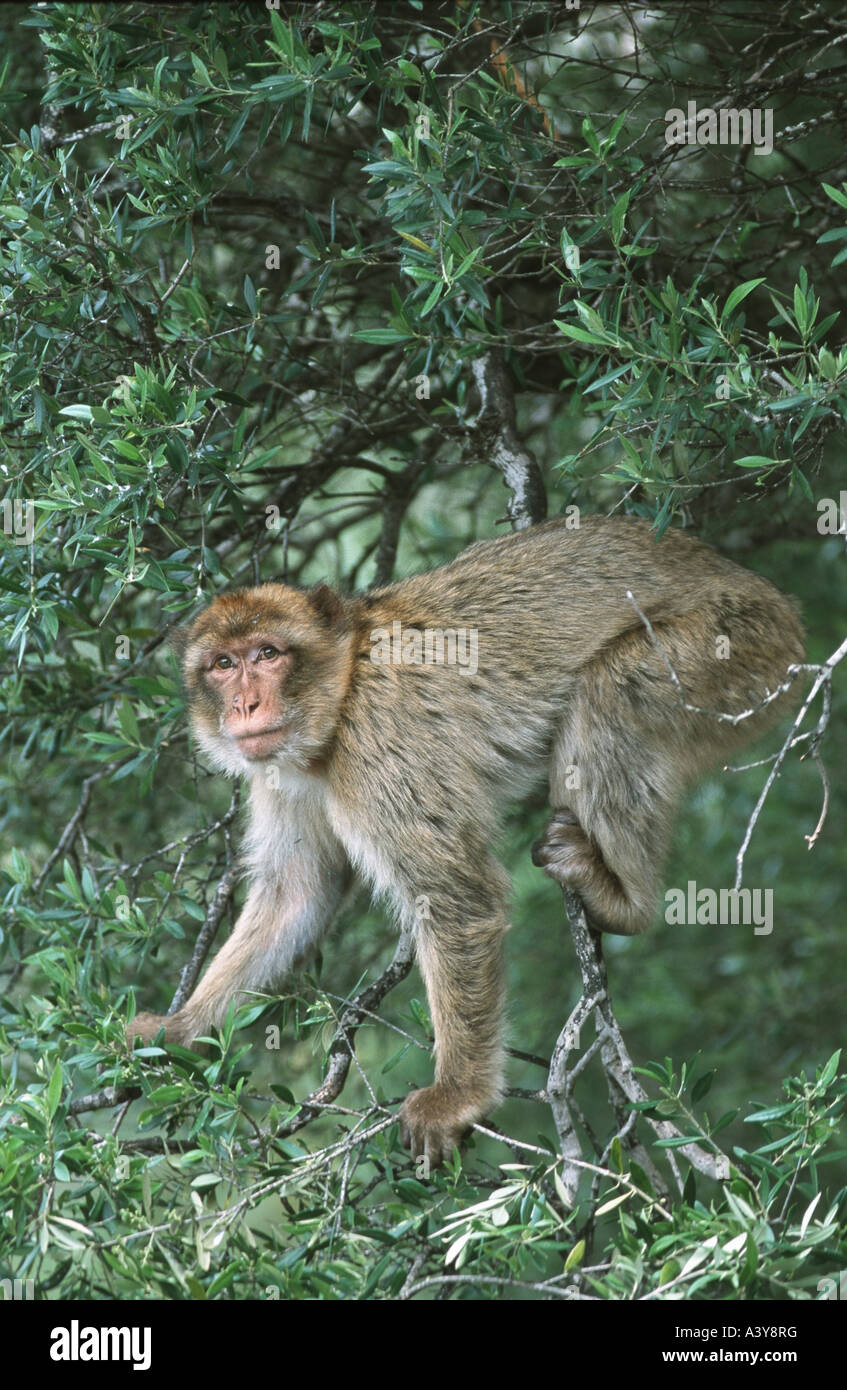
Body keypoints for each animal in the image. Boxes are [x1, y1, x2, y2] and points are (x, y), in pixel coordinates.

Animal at [126, 515, 805, 1166]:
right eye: (222, 663)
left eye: (267, 653)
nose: (244, 703)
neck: (342, 694)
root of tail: (771, 600)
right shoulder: (281, 774)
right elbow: (298, 892)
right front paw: (180, 1029)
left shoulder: (382, 743)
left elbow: (457, 900)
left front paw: (459, 1095)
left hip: (729, 649)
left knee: (611, 692)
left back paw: (624, 900)